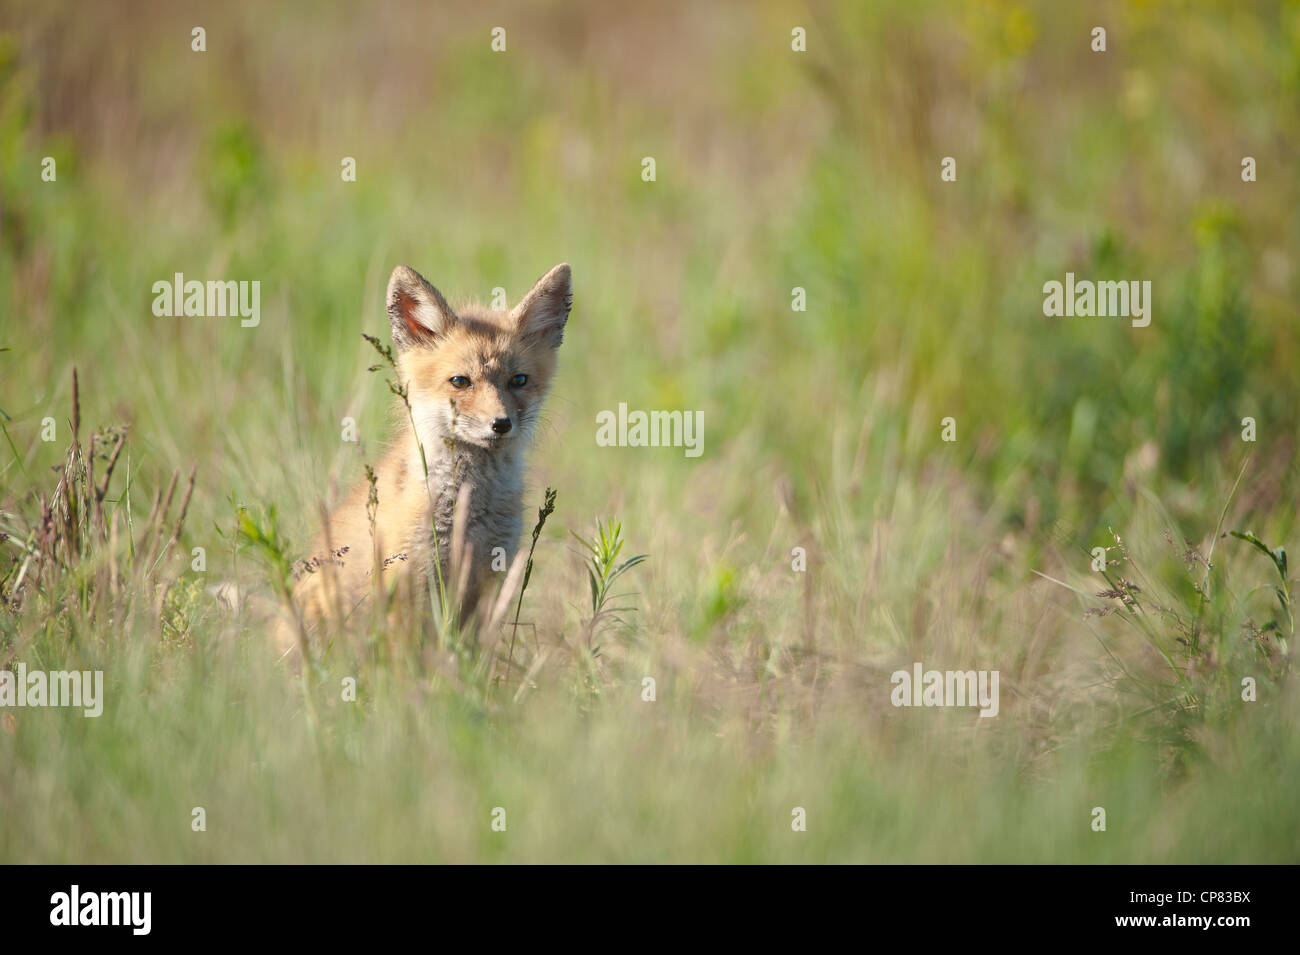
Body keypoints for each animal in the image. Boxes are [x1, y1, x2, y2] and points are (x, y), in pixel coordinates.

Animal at [275, 262, 572, 661]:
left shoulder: (491, 580)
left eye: (519, 380)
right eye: (460, 381)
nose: (501, 424)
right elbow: (408, 663)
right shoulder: (406, 584)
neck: (470, 513)